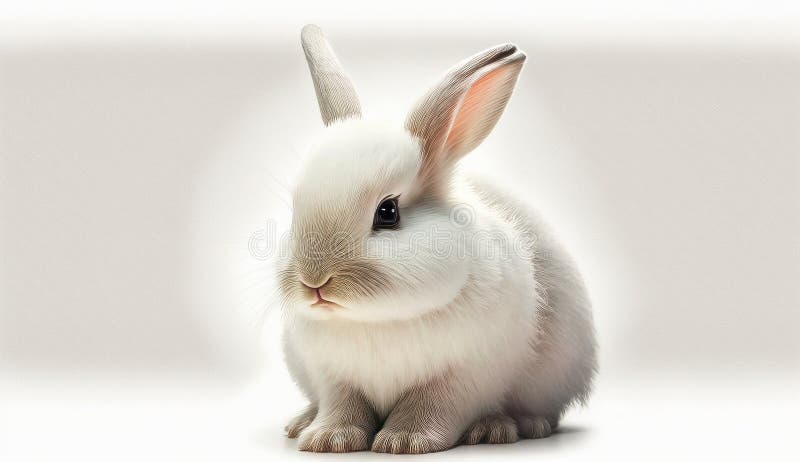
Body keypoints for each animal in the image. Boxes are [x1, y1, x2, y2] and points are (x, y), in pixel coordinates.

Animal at [277, 24, 597, 454]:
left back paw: (502, 428)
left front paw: (404, 441)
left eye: (388, 212)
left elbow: (432, 405)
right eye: (295, 209)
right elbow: (342, 405)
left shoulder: (464, 373)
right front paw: (328, 439)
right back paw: (300, 422)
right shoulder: (332, 376)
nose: (314, 282)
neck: (379, 320)